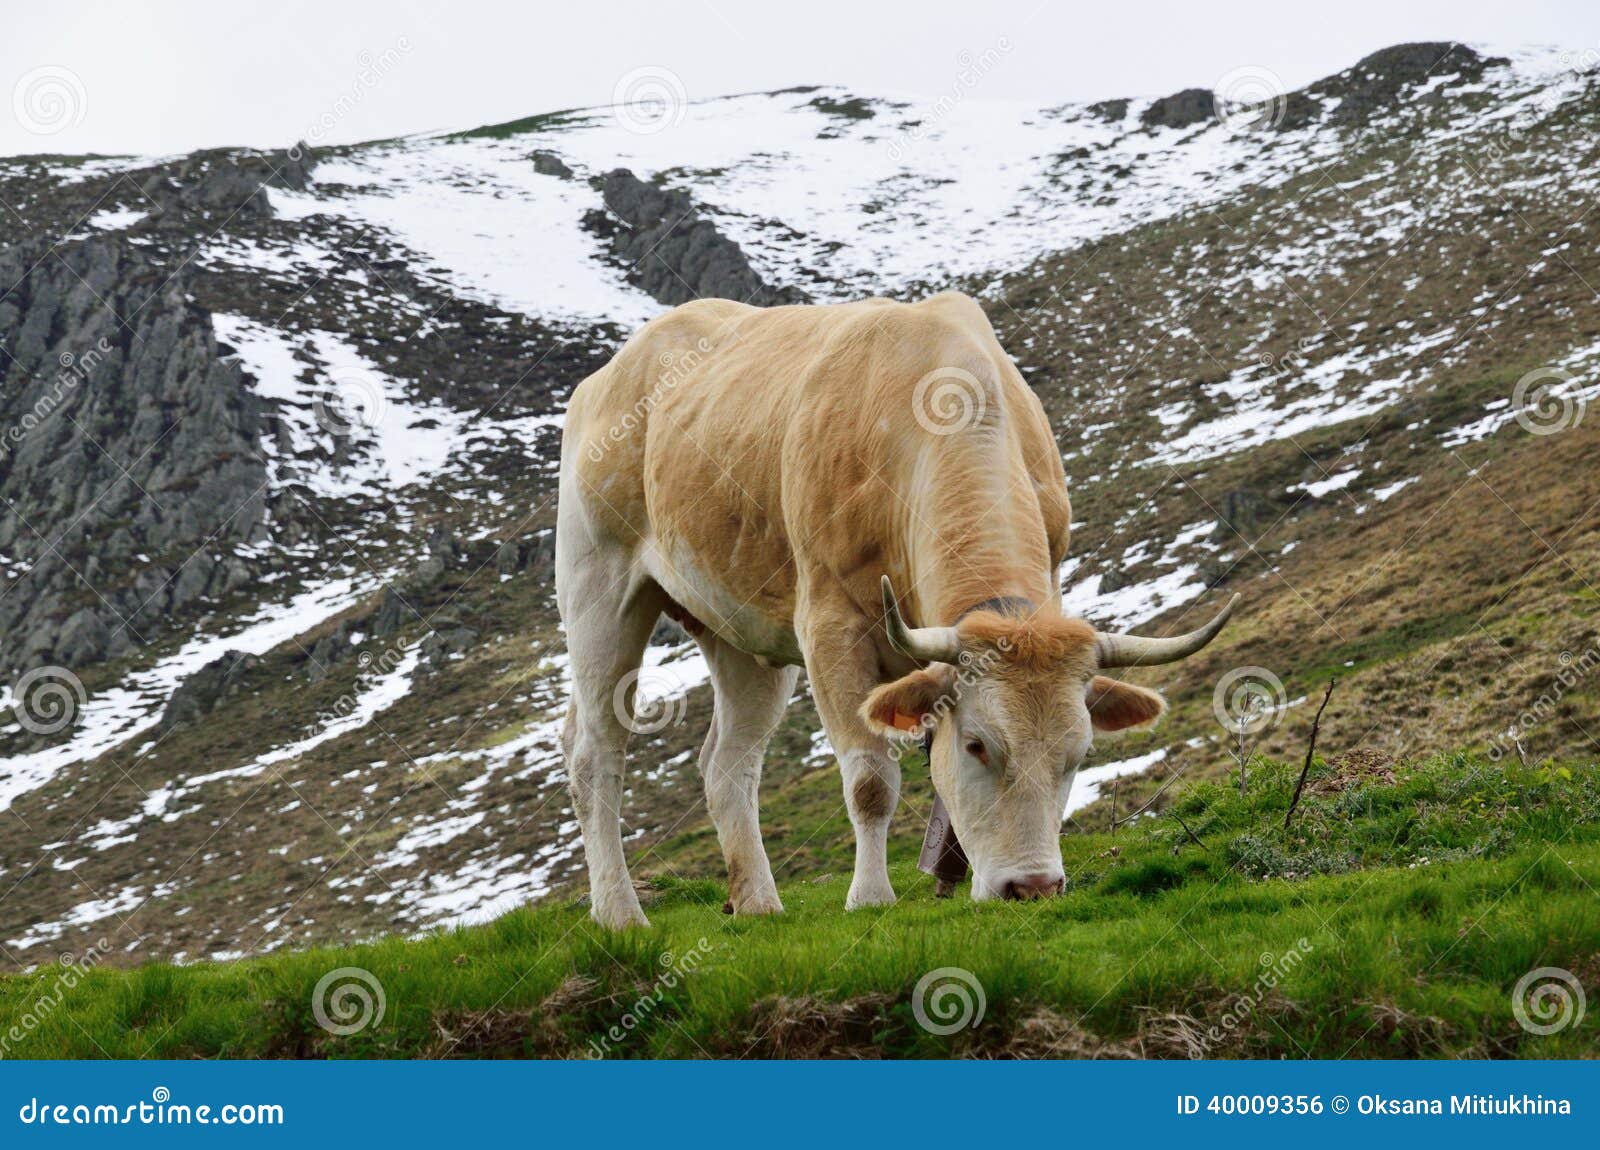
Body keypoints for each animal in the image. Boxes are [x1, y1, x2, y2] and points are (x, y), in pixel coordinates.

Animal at [556, 291, 1237, 928]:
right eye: (978, 746)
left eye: (1078, 755)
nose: (1033, 888)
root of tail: (614, 370)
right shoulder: (829, 627)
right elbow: (870, 781)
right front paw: (870, 897)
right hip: (598, 588)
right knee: (595, 754)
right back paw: (620, 913)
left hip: (738, 630)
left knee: (726, 764)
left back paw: (759, 905)